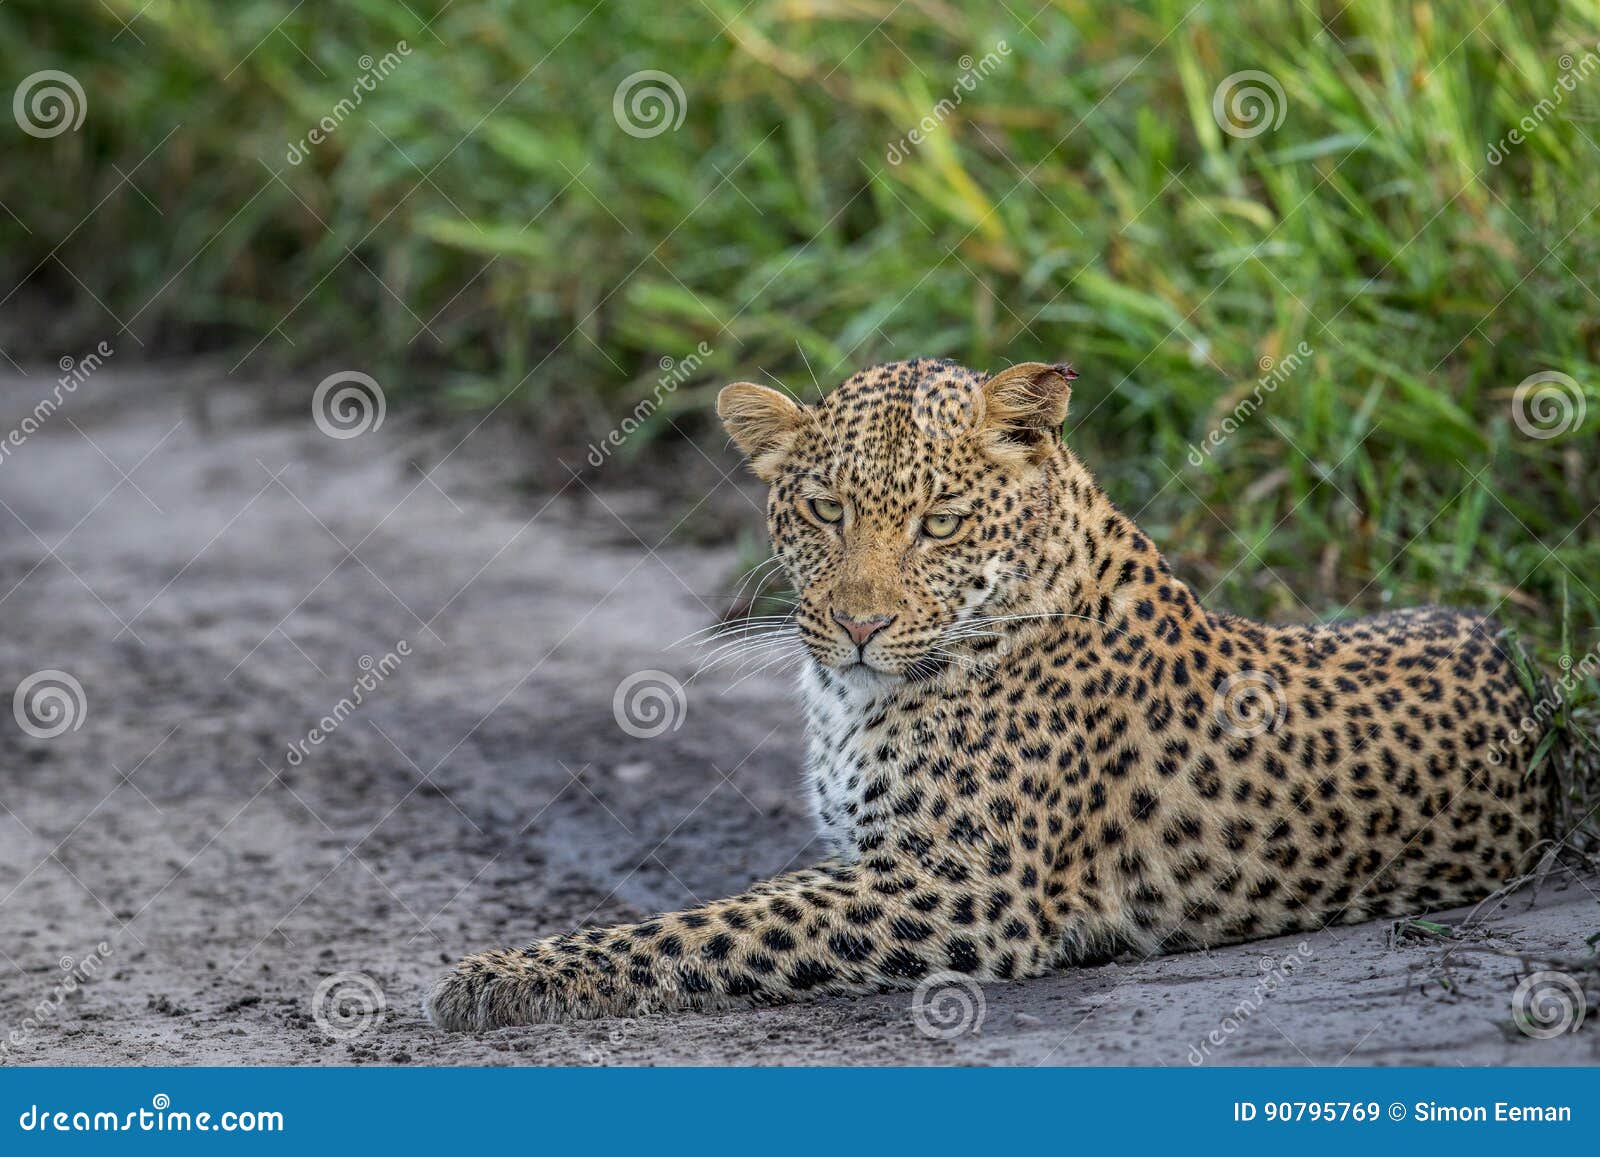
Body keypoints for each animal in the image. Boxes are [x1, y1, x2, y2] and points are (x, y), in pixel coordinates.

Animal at [423, 357, 1556, 1031]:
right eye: (824, 511)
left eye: (940, 521)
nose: (859, 624)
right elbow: (738, 905)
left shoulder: (965, 881)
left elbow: (710, 925)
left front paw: (496, 975)